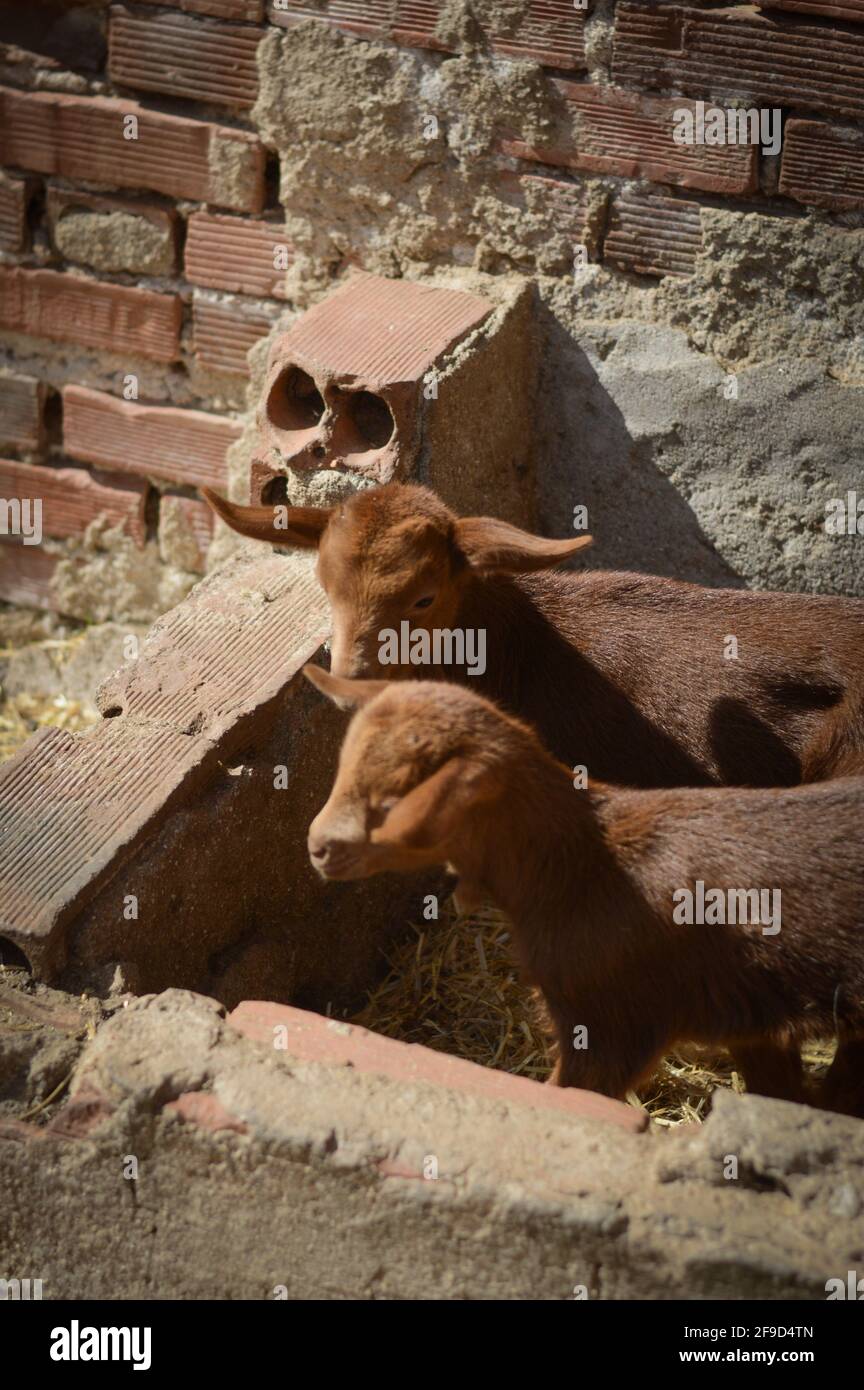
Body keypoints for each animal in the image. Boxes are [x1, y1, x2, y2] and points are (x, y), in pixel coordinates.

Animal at [304, 664, 864, 1118]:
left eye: (394, 803)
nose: (317, 847)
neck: (575, 865)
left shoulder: (607, 1018)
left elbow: (566, 1094)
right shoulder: (748, 1012)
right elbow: (782, 1088)